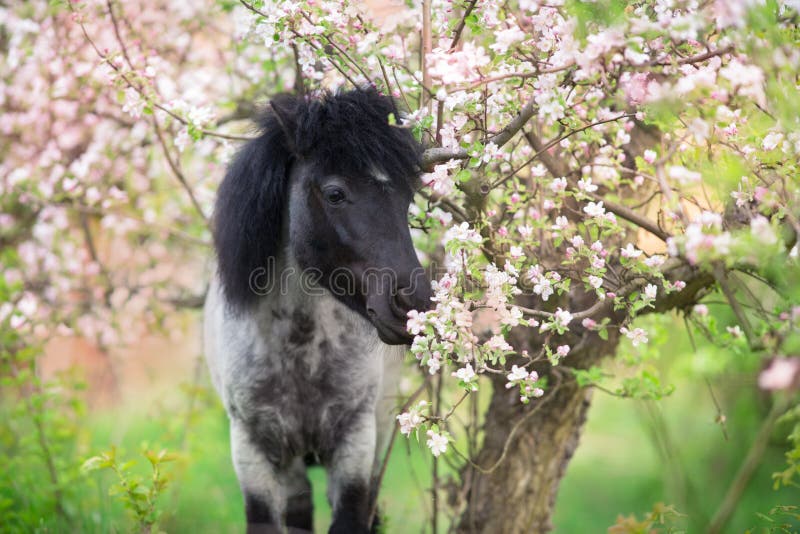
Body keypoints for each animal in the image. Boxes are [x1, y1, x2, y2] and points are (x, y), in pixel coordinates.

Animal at [203, 88, 432, 534]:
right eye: (335, 193)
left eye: (407, 195)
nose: (412, 304)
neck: (299, 342)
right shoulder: (253, 452)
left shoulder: (354, 443)